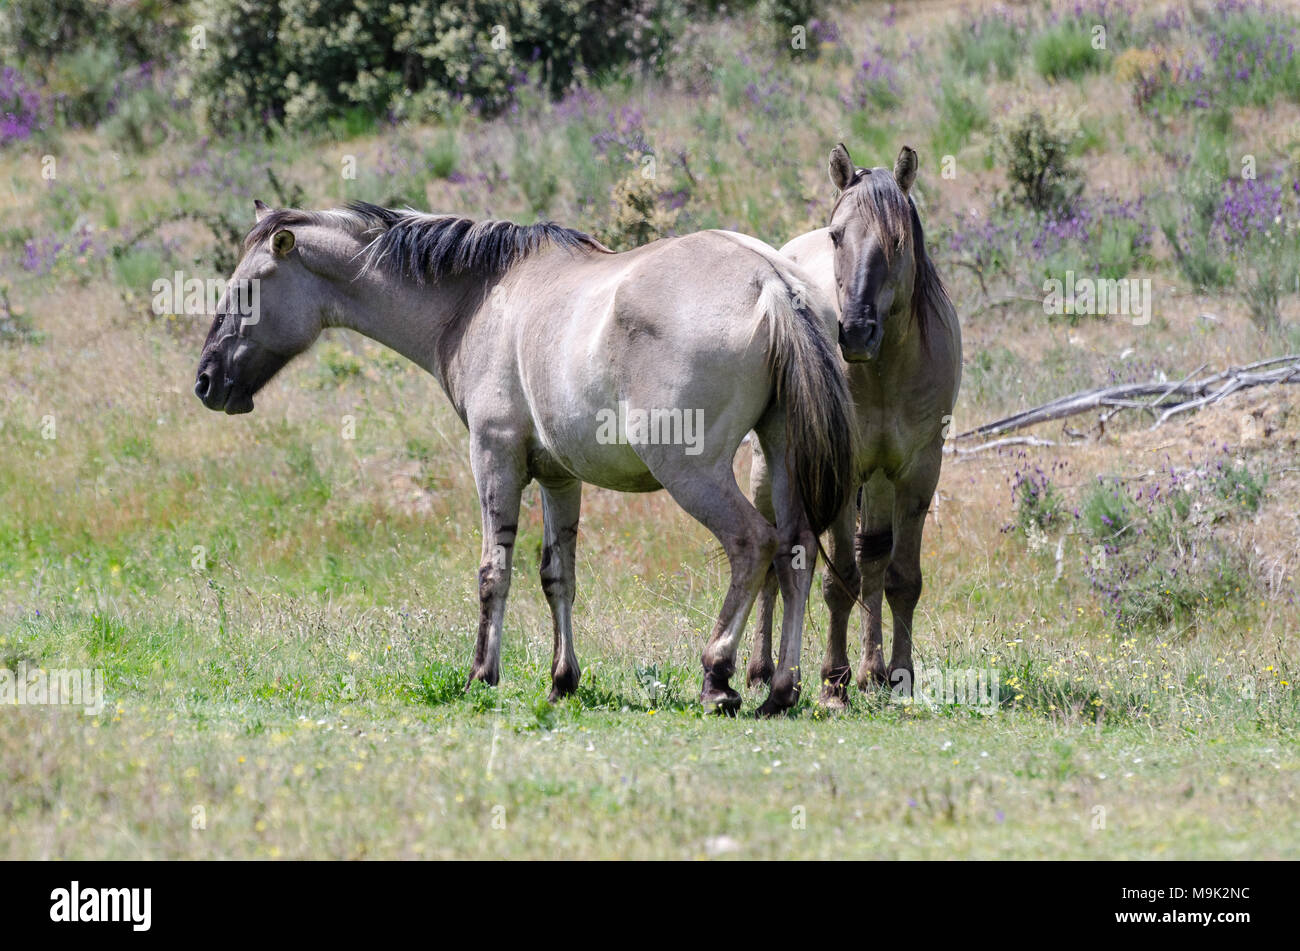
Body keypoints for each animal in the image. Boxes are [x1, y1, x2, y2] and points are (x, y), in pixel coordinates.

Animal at [193, 199, 855, 715]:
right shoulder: (559, 479)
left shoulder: (494, 457)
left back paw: (718, 678)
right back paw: (781, 691)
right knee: (796, 552)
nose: (205, 381)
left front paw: (480, 676)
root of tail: (771, 282)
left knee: (752, 545)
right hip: (781, 457)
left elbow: (494, 572)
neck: (479, 300)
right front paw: (563, 681)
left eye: (246, 291)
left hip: (693, 472)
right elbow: (557, 575)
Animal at [746, 144, 963, 708]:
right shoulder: (843, 471)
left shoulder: (917, 472)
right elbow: (837, 577)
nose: (856, 332)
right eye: (837, 235)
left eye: (897, 240)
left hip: (879, 483)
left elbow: (899, 577)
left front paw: (896, 675)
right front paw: (833, 682)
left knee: (873, 564)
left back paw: (872, 671)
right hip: (771, 470)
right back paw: (760, 669)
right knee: (773, 558)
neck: (883, 369)